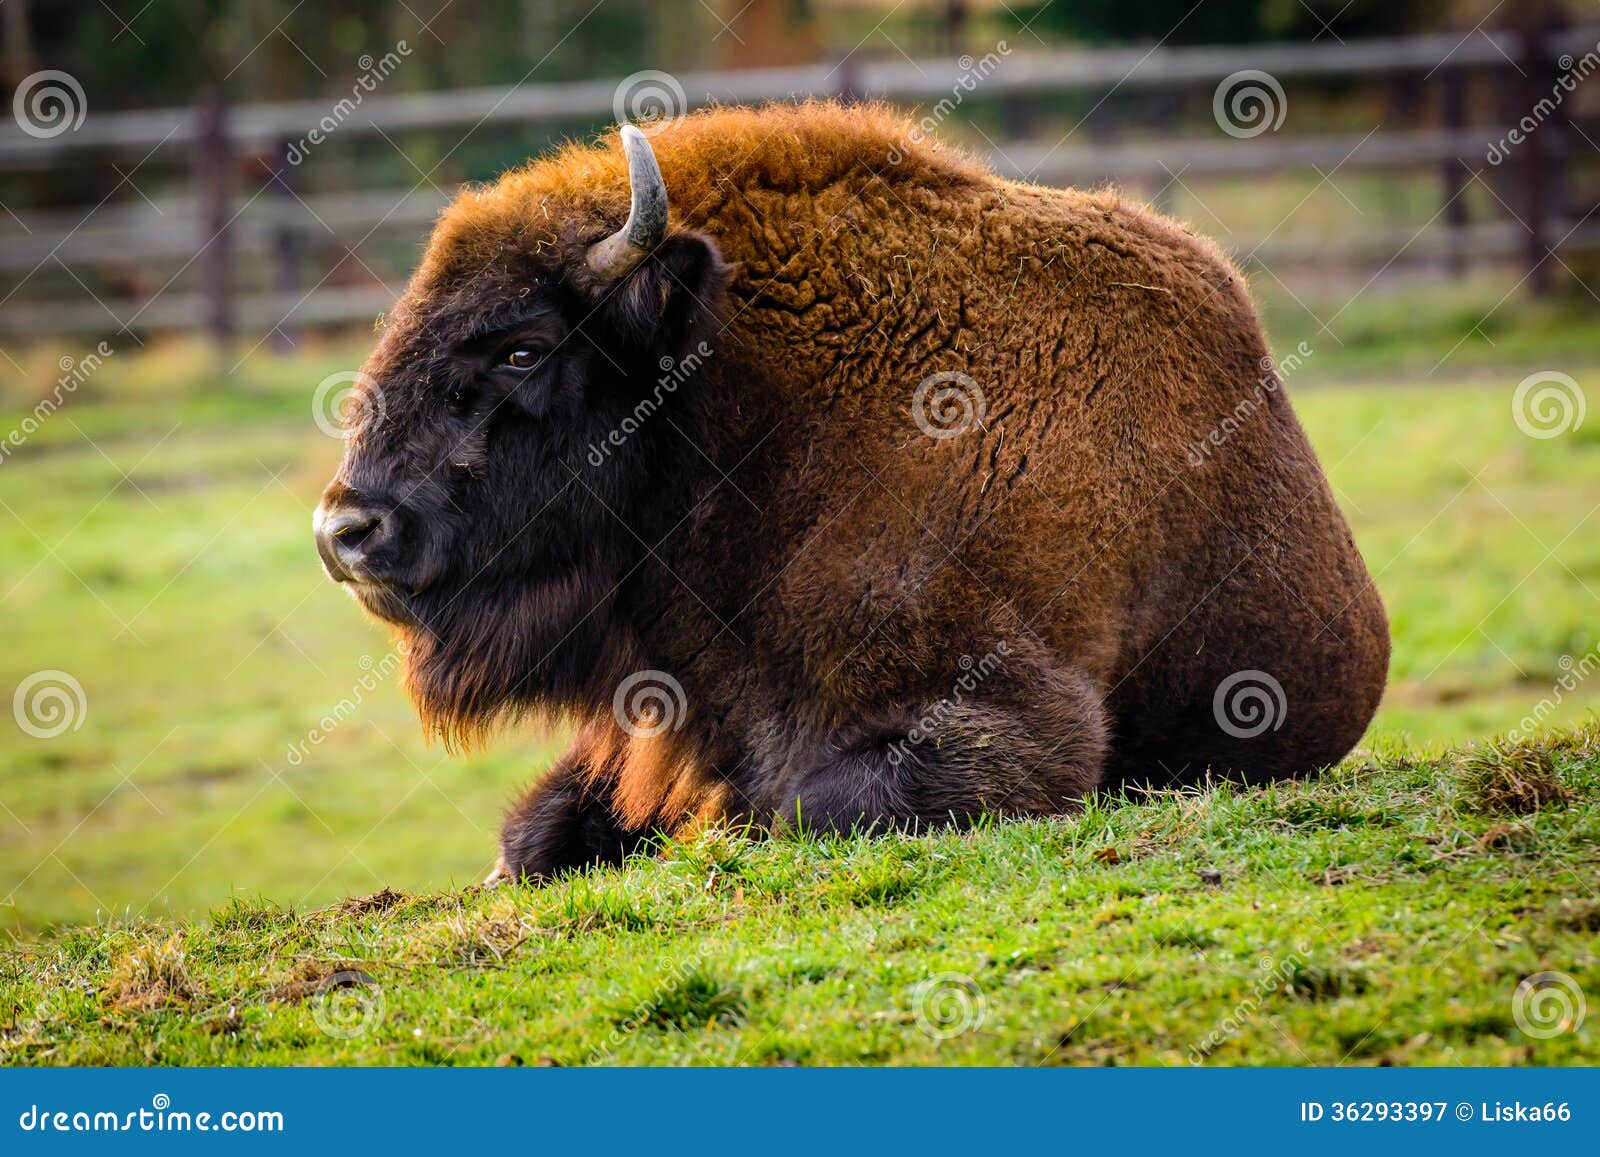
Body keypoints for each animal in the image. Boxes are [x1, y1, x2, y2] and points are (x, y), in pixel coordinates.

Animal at [313, 102, 1389, 882]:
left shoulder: (1007, 720)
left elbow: (799, 806)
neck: (754, 422)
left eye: (523, 347)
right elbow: (537, 836)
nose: (347, 530)